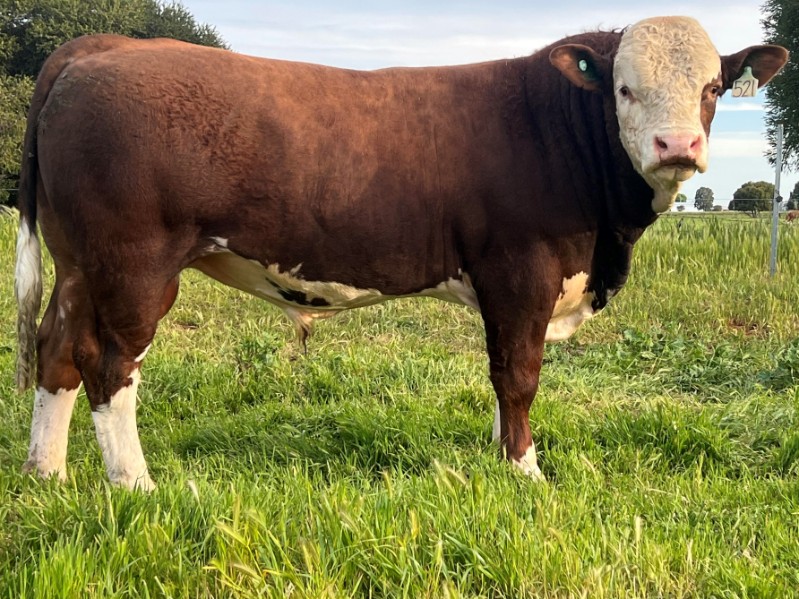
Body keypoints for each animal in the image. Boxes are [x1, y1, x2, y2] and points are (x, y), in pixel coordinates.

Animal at [15, 17, 787, 490]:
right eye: (625, 87)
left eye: (712, 87)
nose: (677, 146)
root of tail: (102, 45)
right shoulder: (521, 270)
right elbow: (518, 376)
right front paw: (524, 472)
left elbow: (502, 379)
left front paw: (502, 455)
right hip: (135, 262)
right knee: (109, 362)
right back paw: (137, 485)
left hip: (78, 262)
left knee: (56, 348)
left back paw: (48, 474)